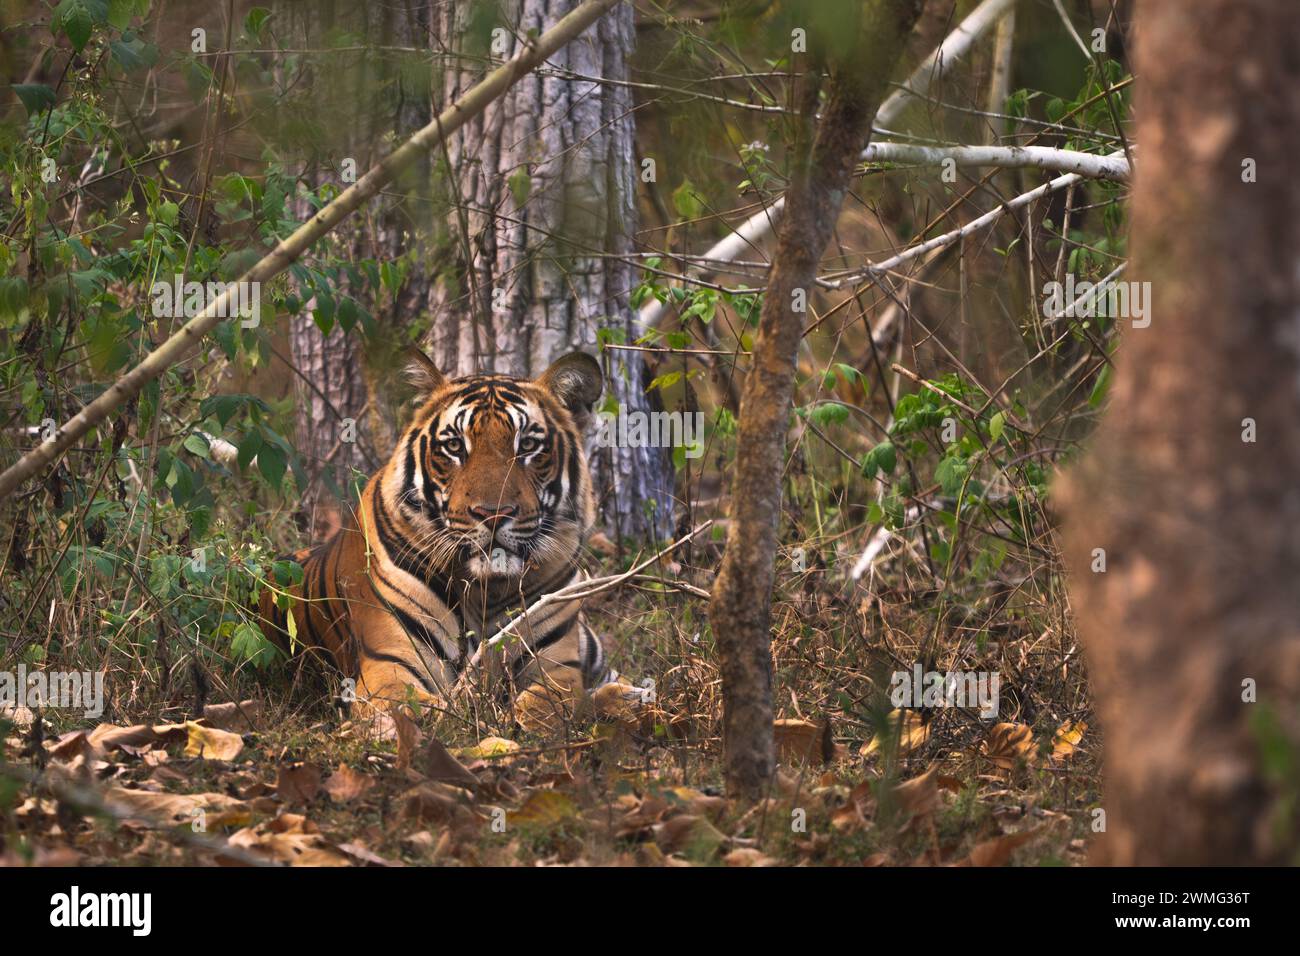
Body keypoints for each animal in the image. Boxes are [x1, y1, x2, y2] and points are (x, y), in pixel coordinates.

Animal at [257, 349, 619, 730]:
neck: (486, 591)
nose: (494, 513)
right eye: (455, 446)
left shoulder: (558, 666)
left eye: (529, 446)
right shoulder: (390, 664)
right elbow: (423, 711)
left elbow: (547, 707)